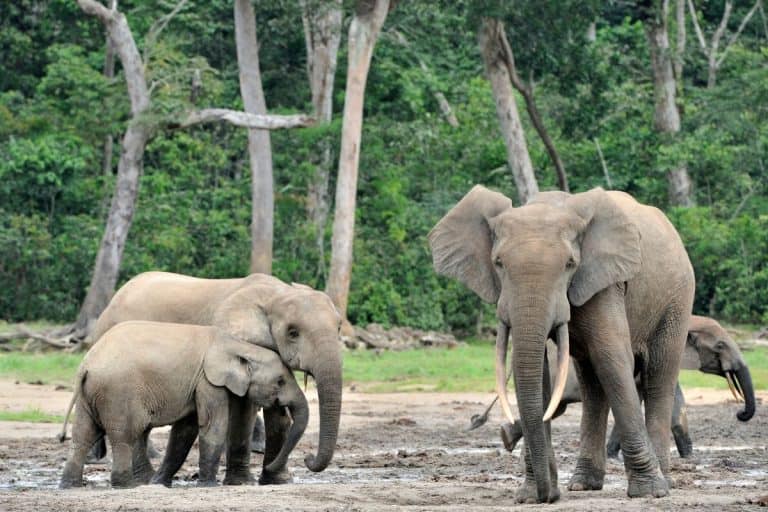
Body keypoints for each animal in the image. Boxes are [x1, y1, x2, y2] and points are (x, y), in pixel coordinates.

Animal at [59, 321, 308, 489]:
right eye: (280, 381)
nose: (305, 460)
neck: (237, 345)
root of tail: (86, 366)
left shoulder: (196, 383)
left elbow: (184, 431)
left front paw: (160, 483)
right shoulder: (209, 381)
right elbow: (212, 426)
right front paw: (208, 486)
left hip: (90, 396)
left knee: (82, 436)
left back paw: (71, 485)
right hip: (117, 393)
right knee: (125, 437)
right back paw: (127, 485)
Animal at [82, 271, 342, 486]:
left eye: (339, 328)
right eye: (292, 332)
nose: (308, 458)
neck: (276, 293)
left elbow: (278, 412)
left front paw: (277, 481)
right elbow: (244, 407)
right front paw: (242, 482)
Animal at [430, 186, 695, 503]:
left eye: (570, 264)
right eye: (498, 263)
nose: (548, 497)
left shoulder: (606, 282)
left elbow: (612, 359)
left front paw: (649, 493)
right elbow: (538, 372)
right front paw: (530, 496)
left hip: (677, 300)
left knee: (658, 377)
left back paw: (664, 482)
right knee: (592, 386)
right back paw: (583, 484)